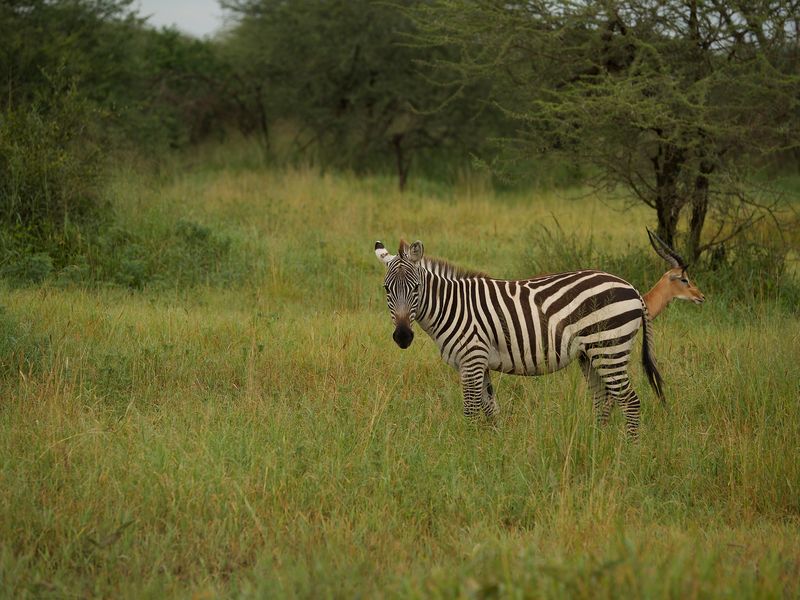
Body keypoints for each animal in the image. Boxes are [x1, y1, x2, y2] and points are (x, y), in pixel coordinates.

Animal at [374, 233, 704, 438]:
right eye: (387, 289)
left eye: (416, 288)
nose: (402, 337)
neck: (451, 306)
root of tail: (631, 287)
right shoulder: (479, 362)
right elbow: (490, 409)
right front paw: (494, 448)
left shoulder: (472, 359)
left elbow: (470, 410)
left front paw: (466, 449)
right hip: (590, 355)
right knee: (603, 401)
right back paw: (597, 446)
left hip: (610, 348)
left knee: (630, 402)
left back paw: (628, 452)